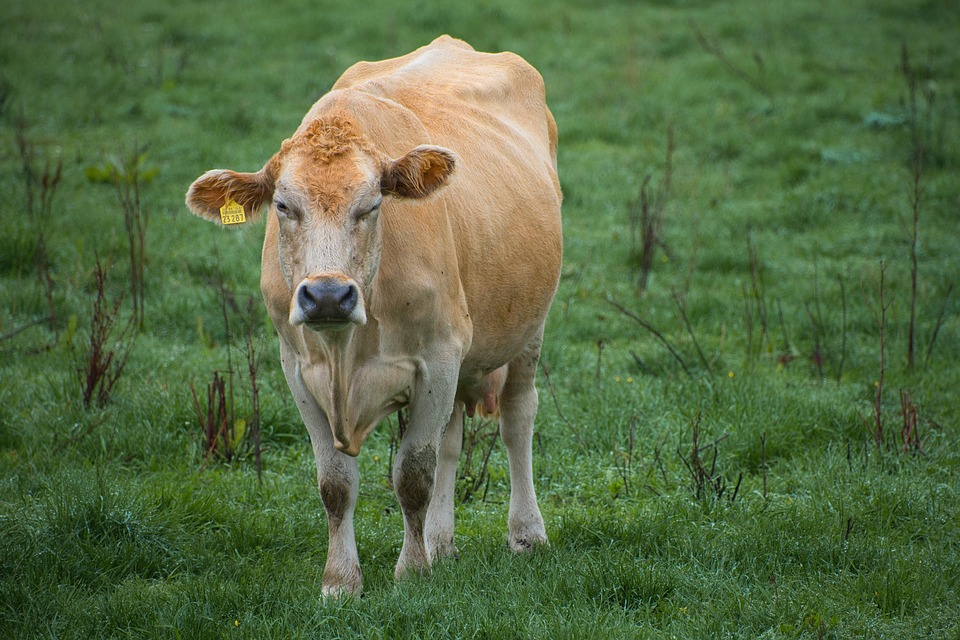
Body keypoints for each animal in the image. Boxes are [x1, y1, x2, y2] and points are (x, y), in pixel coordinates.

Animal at [185, 35, 562, 597]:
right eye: (282, 206)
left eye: (372, 205)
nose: (326, 296)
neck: (346, 349)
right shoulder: (298, 370)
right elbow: (336, 483)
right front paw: (341, 581)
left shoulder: (438, 360)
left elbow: (413, 474)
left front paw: (412, 572)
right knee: (453, 441)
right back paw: (441, 543)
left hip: (528, 332)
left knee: (518, 420)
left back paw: (526, 533)